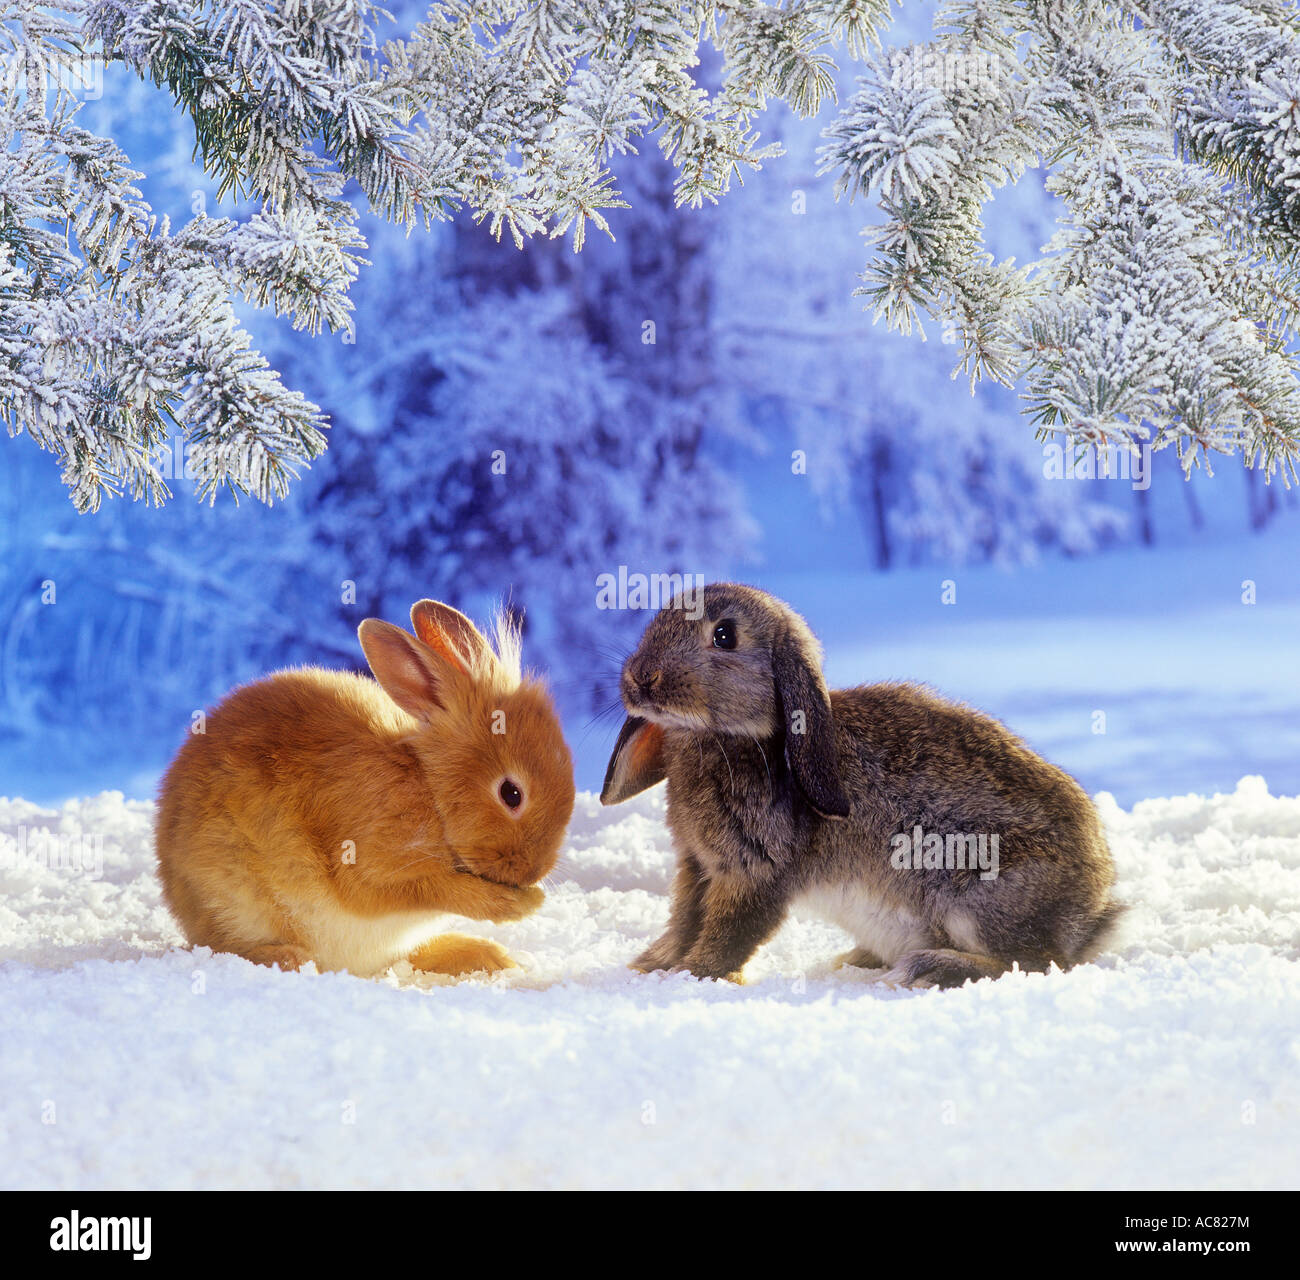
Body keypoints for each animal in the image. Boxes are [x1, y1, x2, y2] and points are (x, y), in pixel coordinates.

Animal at [155, 599, 575, 977]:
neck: (430, 789)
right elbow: (429, 891)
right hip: (232, 903)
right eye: (511, 794)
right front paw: (517, 904)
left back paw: (487, 955)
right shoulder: (367, 866)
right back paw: (290, 959)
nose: (532, 872)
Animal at [601, 582, 1123, 988]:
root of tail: (1091, 911)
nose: (640, 677)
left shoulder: (754, 872)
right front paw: (651, 967)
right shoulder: (696, 866)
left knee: (1033, 961)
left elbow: (729, 931)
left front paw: (697, 974)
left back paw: (930, 968)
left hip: (980, 895)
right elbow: (684, 919)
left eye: (724, 635)